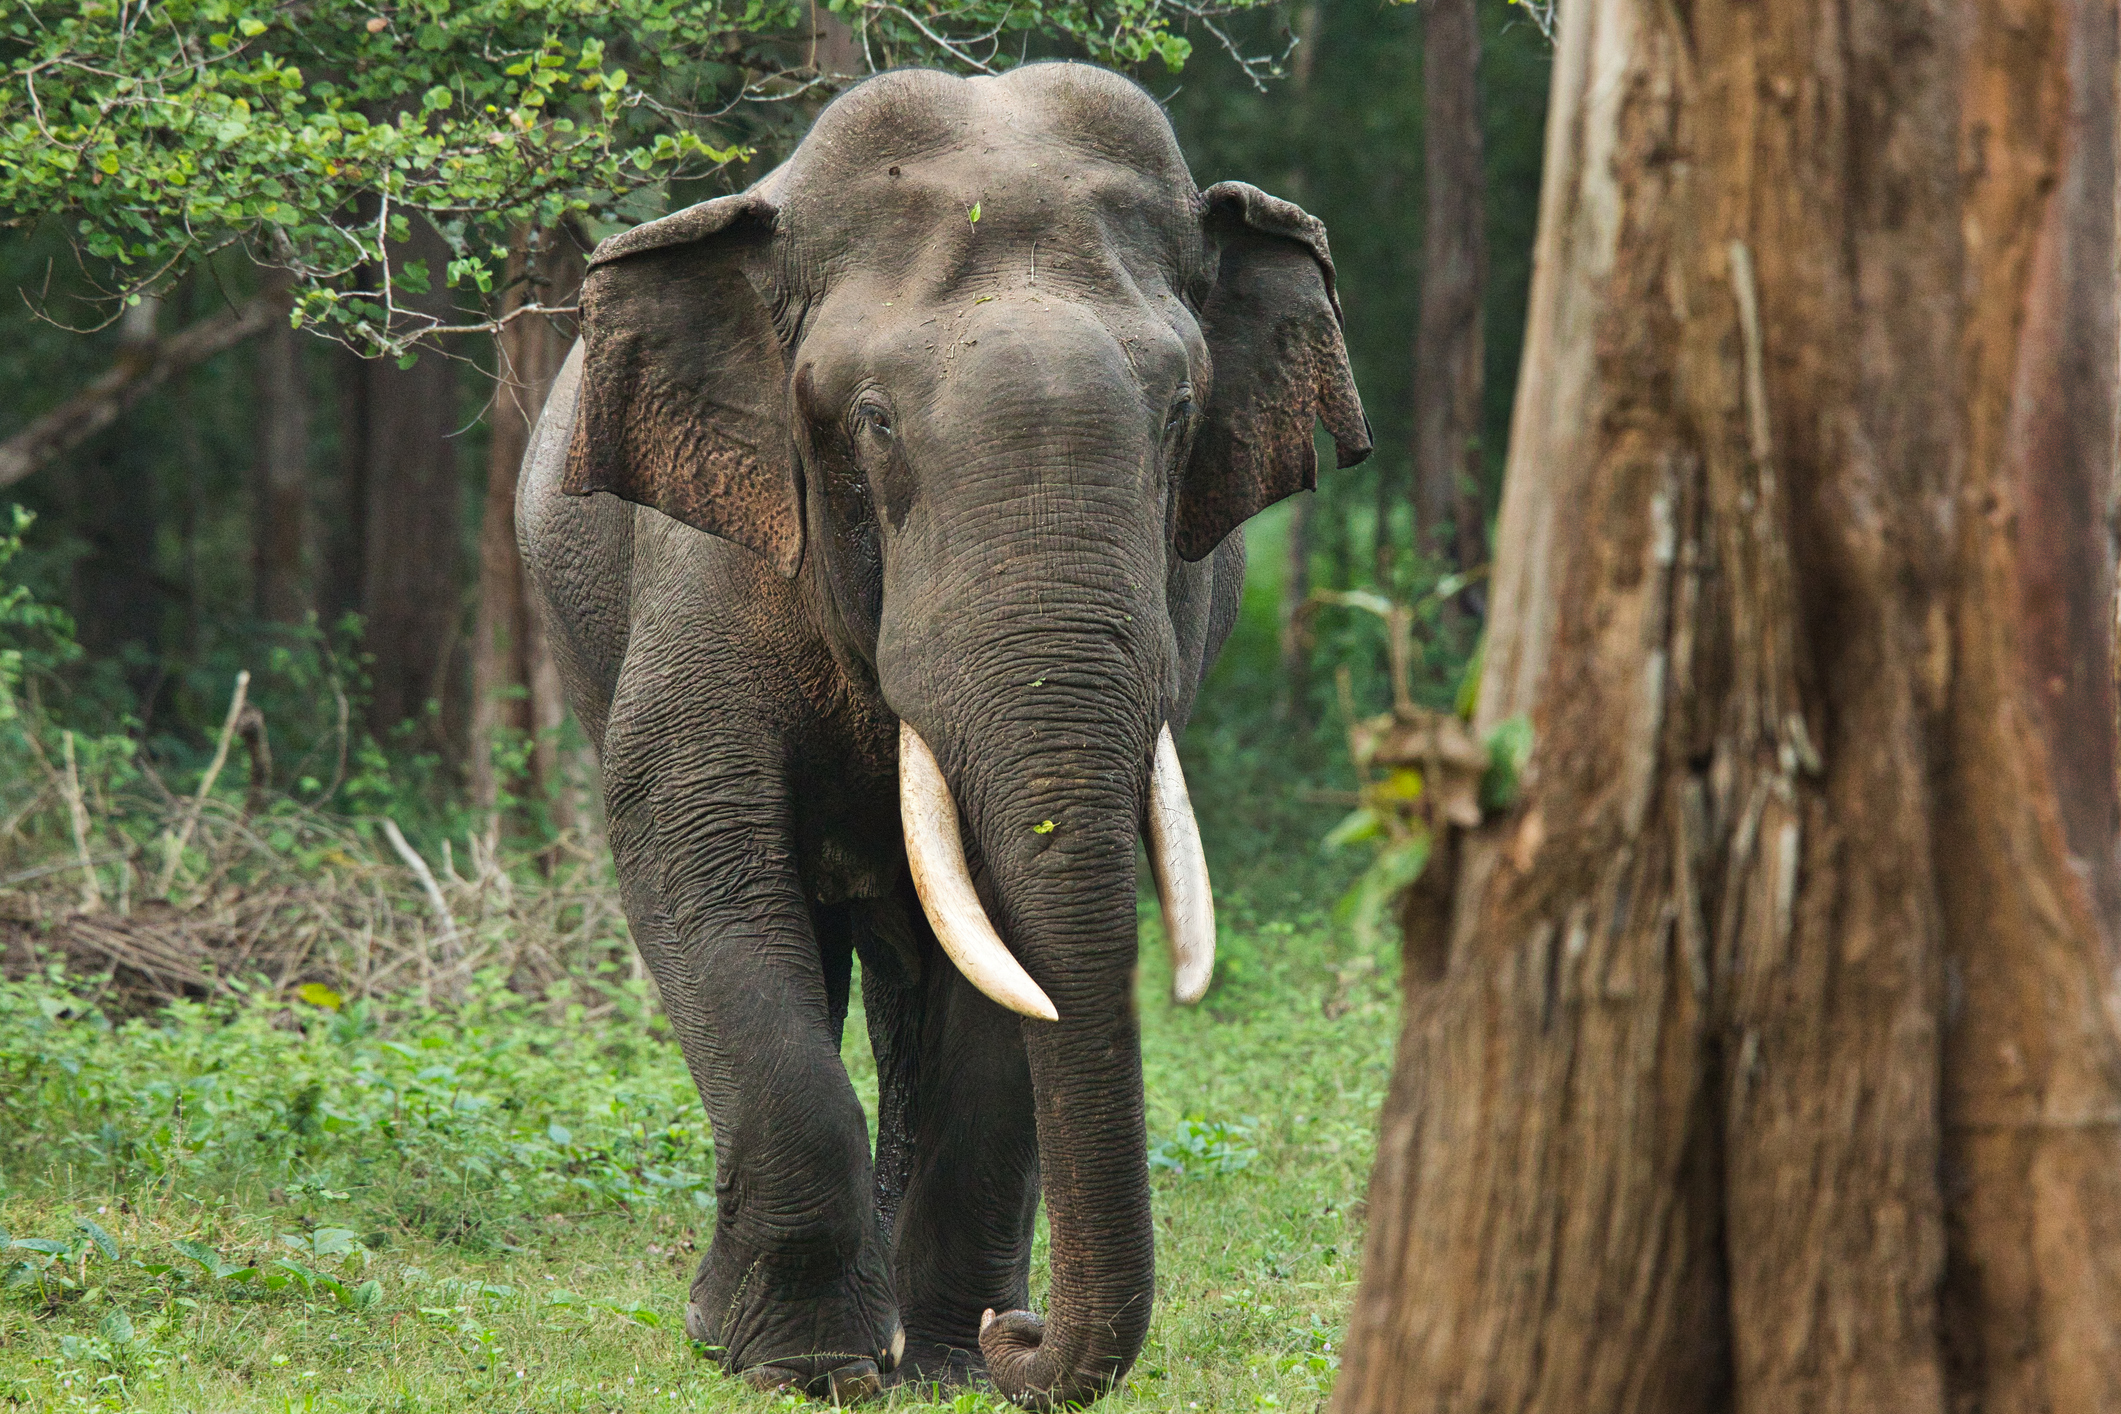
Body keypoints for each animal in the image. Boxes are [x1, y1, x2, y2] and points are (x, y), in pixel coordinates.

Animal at [517, 61, 1369, 1409]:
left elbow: (1011, 974)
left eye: (1181, 411)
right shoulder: (707, 568)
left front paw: (951, 1367)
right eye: (870, 419)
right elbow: (696, 848)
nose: (1028, 1333)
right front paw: (806, 1368)